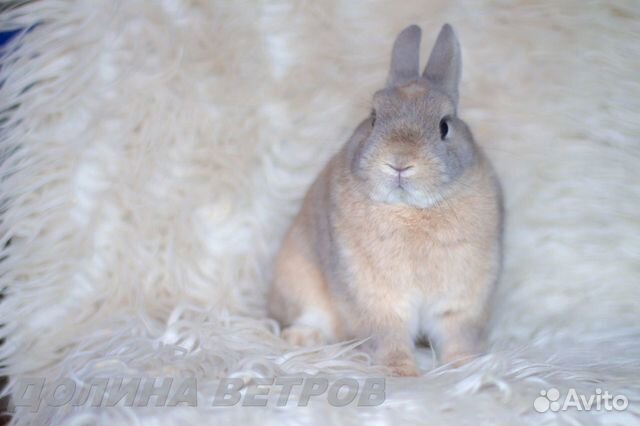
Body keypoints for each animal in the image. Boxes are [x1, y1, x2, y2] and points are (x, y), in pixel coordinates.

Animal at [268, 24, 502, 377]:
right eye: (374, 118)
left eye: (444, 126)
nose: (399, 162)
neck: (412, 211)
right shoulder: (378, 302)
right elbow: (388, 337)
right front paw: (400, 372)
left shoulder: (461, 303)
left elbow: (458, 338)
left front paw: (466, 368)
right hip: (297, 275)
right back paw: (302, 338)